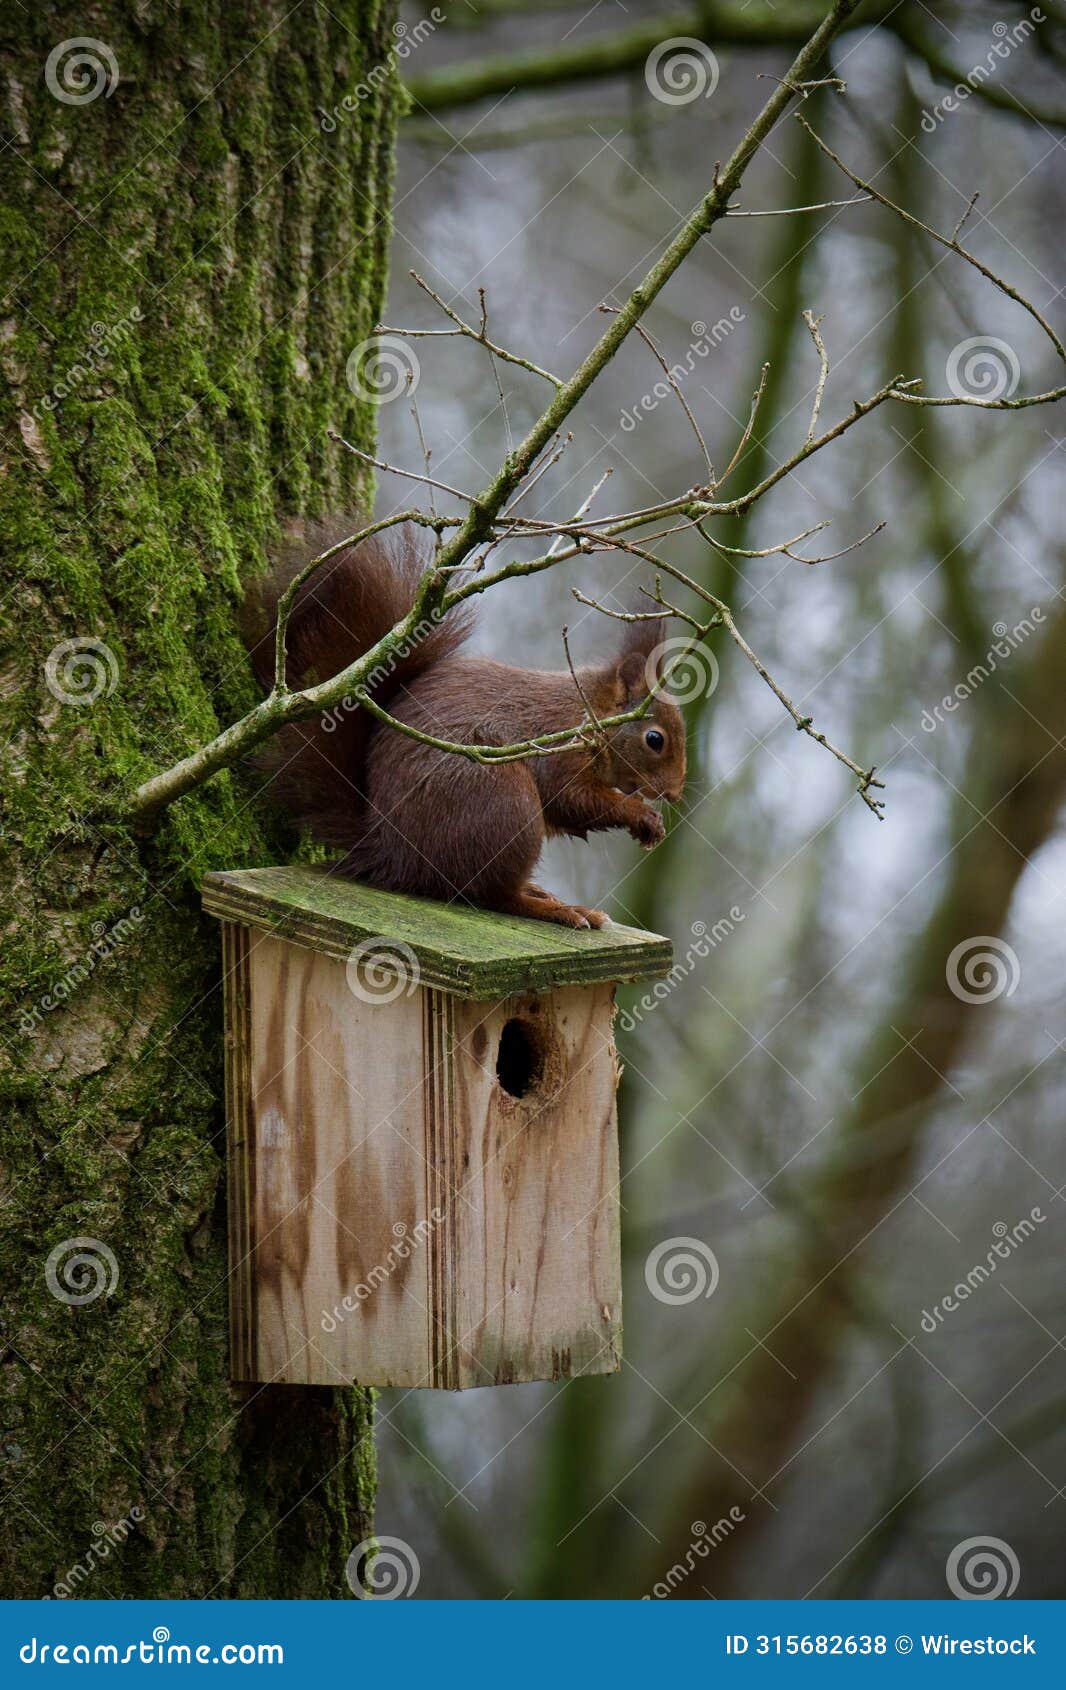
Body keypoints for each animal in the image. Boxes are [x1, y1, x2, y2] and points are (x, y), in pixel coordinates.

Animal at [244, 519, 686, 929]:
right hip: (503, 803)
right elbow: (574, 799)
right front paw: (641, 815)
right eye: (655, 739)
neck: (591, 714)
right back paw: (557, 910)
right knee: (494, 896)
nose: (675, 793)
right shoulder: (558, 751)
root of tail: (392, 853)